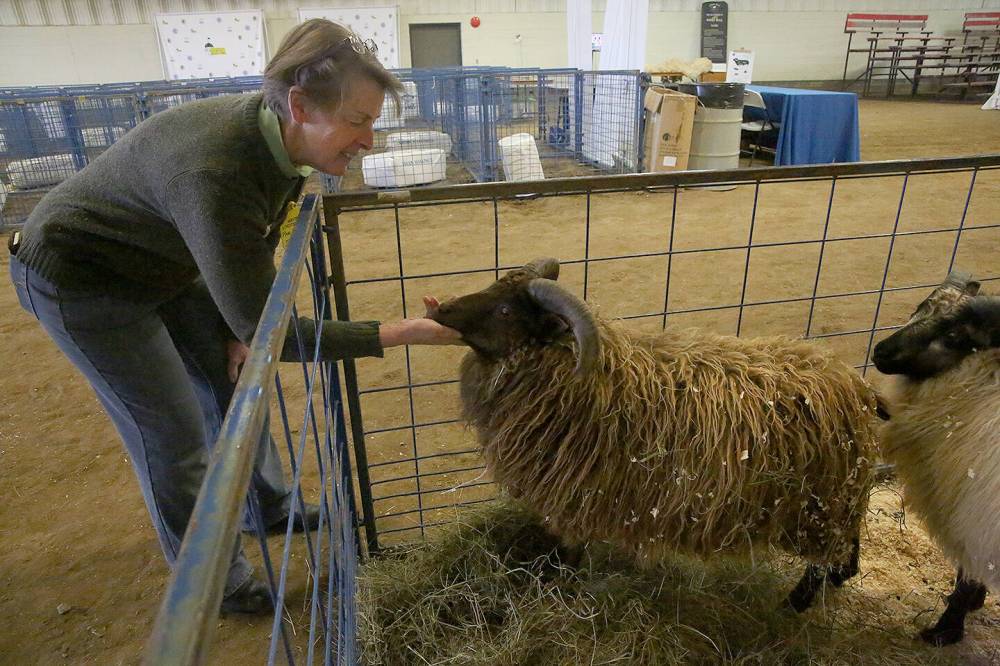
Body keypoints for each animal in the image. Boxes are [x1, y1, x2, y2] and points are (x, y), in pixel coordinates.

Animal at [426, 258, 881, 612]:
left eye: (505, 311)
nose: (439, 309)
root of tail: (856, 388)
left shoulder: (576, 499)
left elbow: (571, 552)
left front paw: (561, 586)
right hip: (839, 497)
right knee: (848, 544)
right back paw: (840, 578)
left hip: (817, 506)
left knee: (822, 558)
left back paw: (794, 605)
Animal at [872, 271, 1000, 646]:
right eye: (919, 307)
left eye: (955, 336)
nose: (880, 351)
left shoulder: (975, 511)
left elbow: (966, 575)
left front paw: (946, 630)